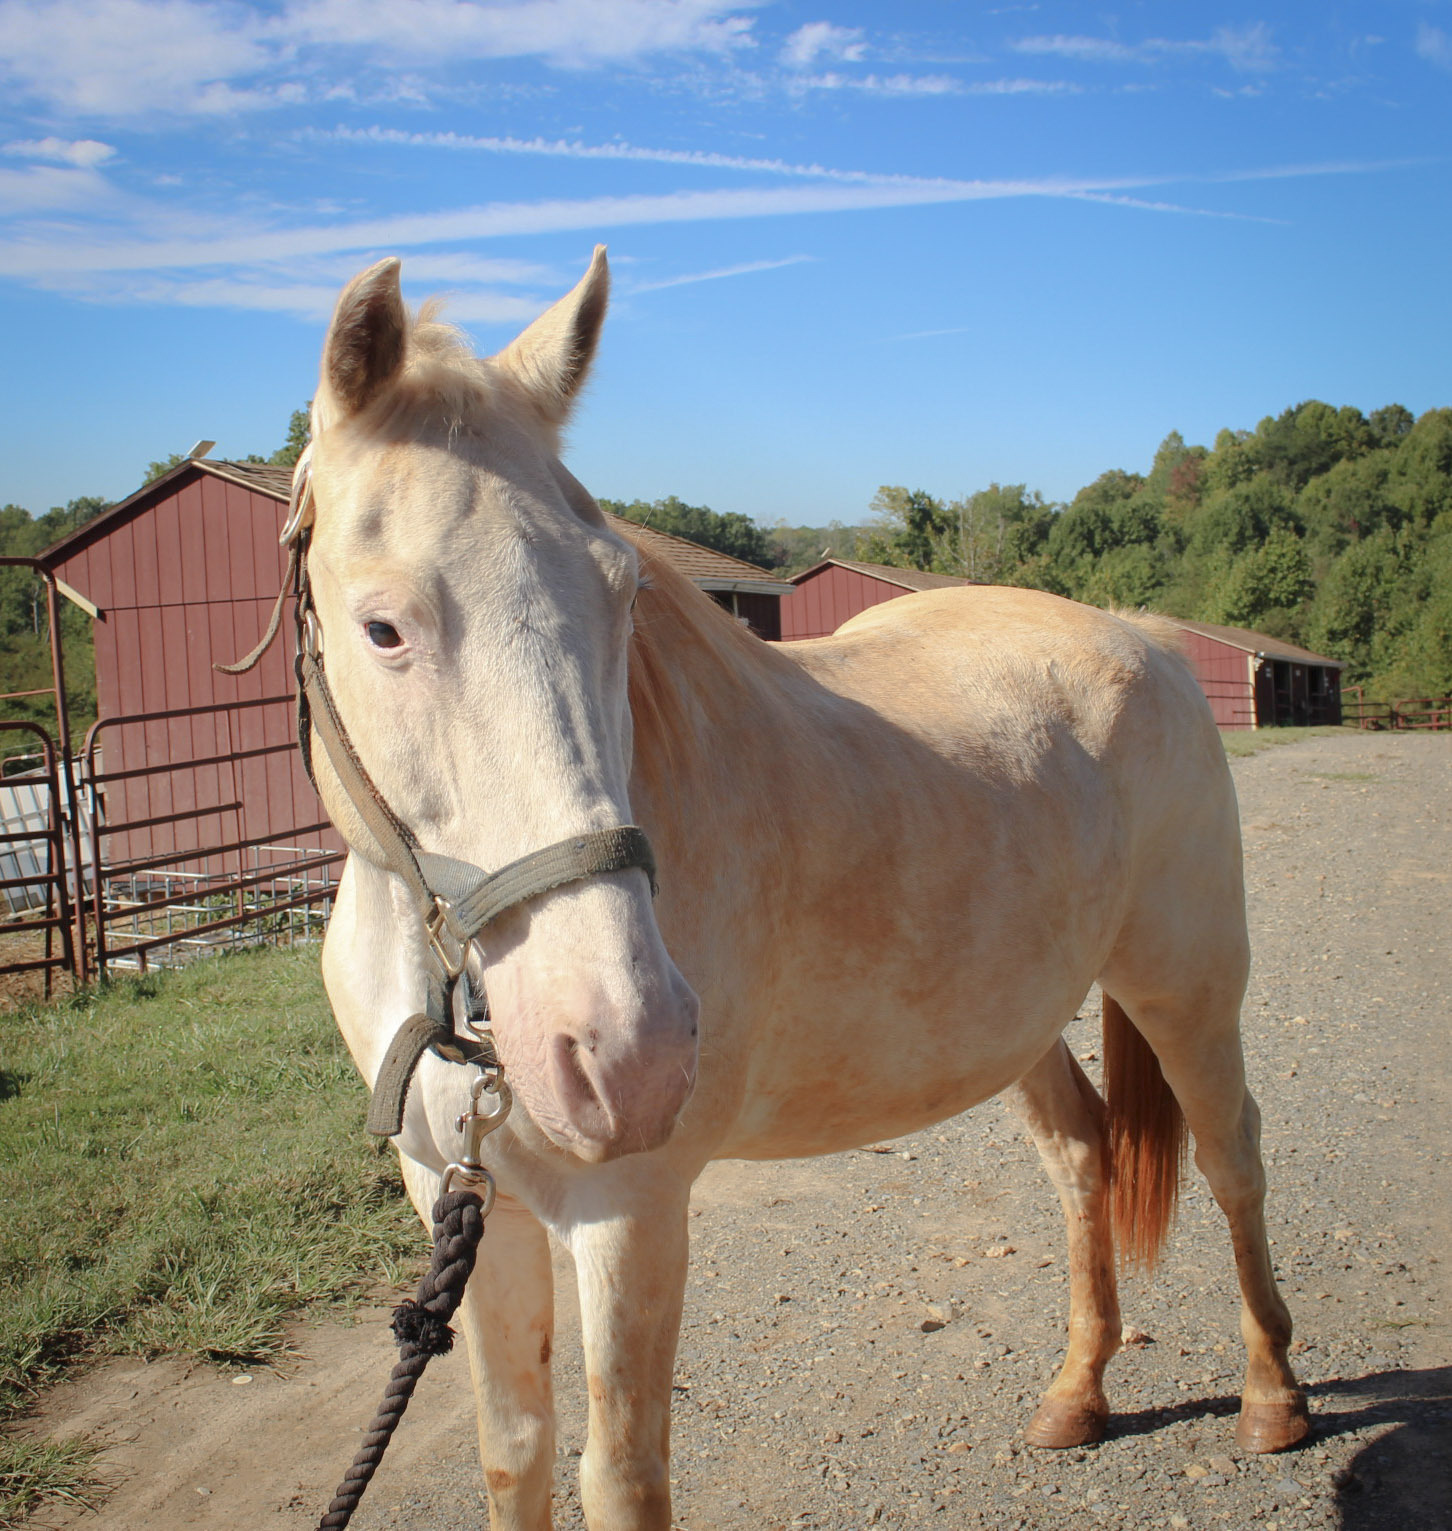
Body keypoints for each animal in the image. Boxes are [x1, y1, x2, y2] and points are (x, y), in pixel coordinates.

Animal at [303, 248, 1310, 1529]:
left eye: (623, 597)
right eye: (383, 626)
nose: (626, 1052)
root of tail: (1149, 641)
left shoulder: (628, 1217)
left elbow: (618, 1476)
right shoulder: (465, 1197)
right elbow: (512, 1452)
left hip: (1187, 989)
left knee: (1234, 1159)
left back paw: (1273, 1397)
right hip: (1022, 1019)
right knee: (1083, 1153)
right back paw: (1077, 1394)